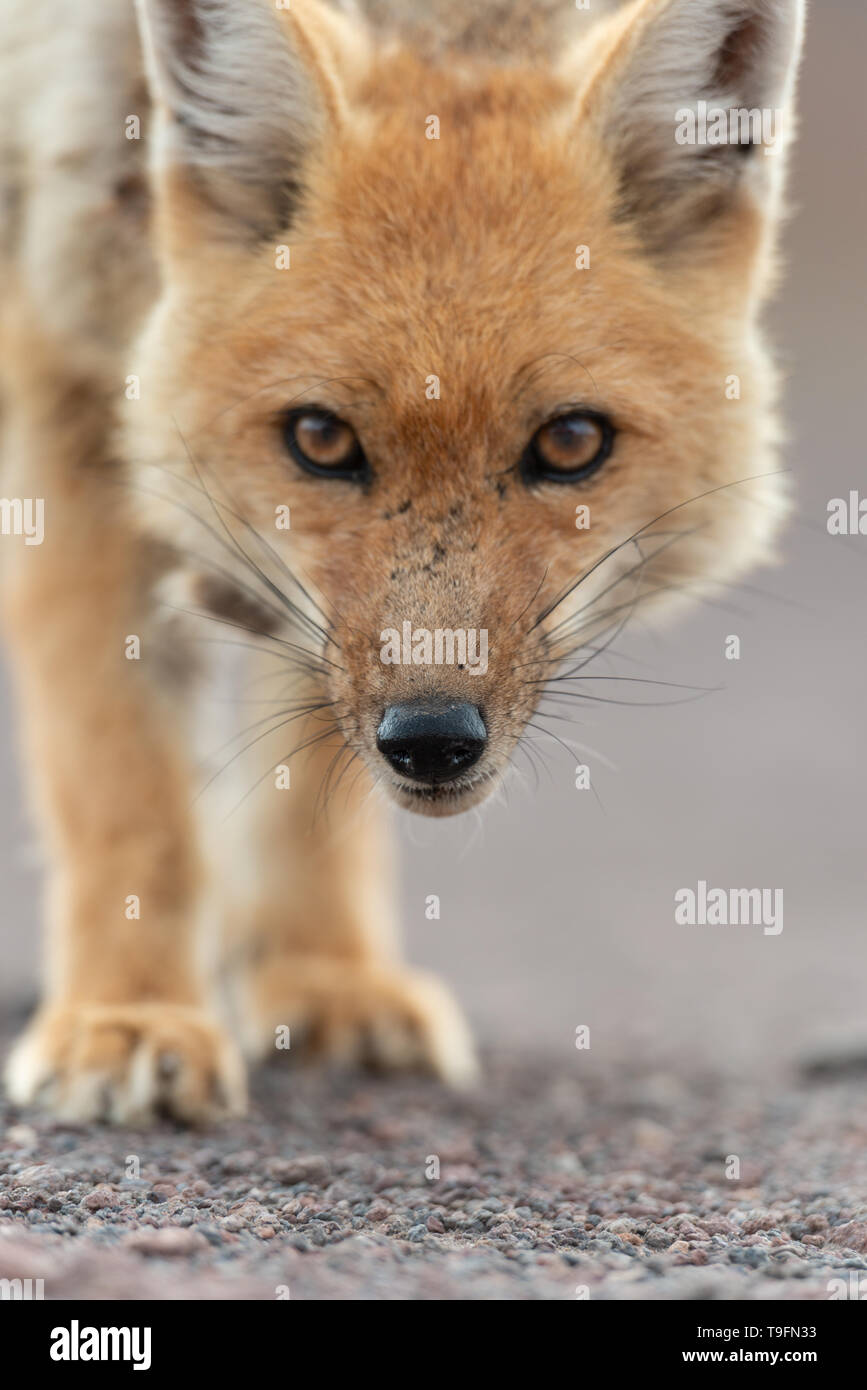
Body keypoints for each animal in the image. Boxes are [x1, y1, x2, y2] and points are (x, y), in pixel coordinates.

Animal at [0, 0, 805, 1124]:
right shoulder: (65, 363)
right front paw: (130, 1014)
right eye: (321, 439)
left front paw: (323, 973)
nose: (431, 741)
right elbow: (123, 782)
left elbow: (309, 762)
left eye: (571, 443)